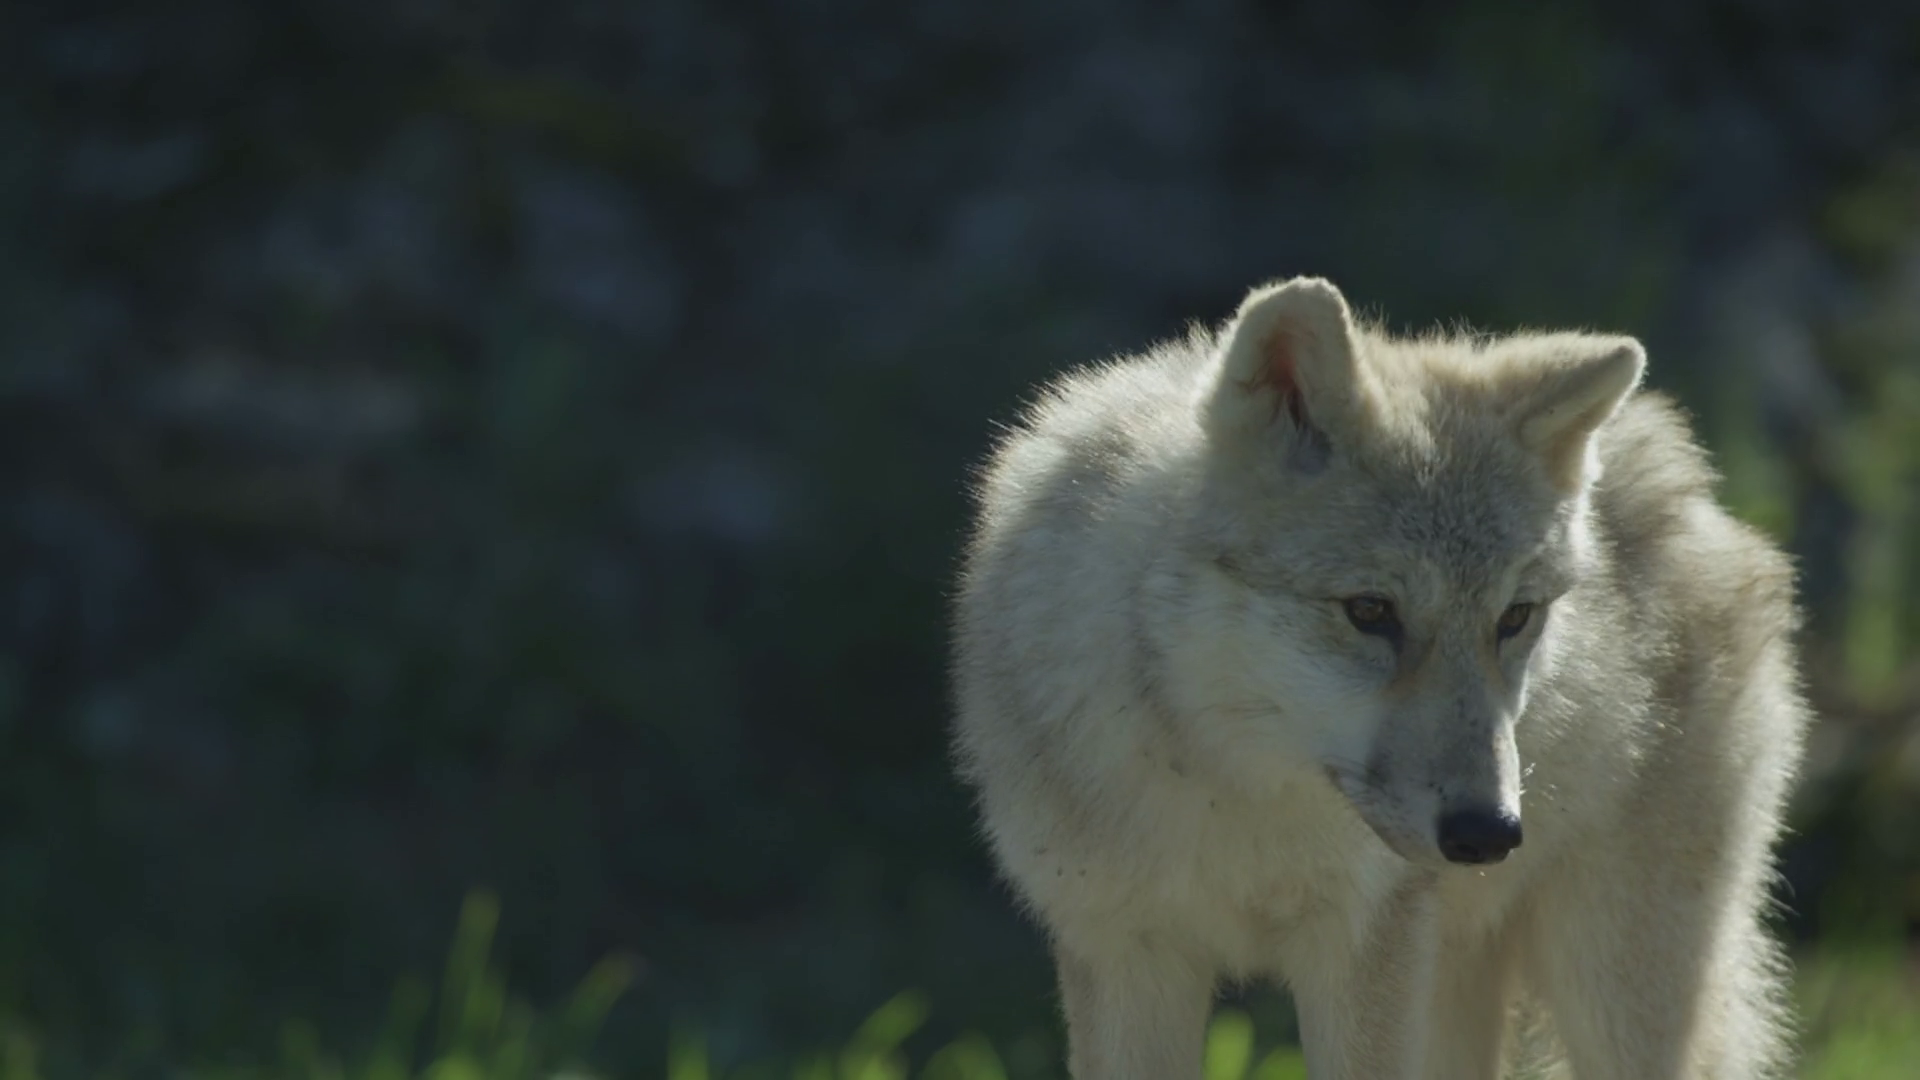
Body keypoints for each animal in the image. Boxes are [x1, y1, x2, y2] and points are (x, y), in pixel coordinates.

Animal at [948, 278, 1811, 1080]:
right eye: (1370, 611)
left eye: (1514, 618)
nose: (1488, 833)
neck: (1227, 784)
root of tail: (1698, 490)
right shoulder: (1127, 954)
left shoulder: (1363, 955)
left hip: (1608, 991)